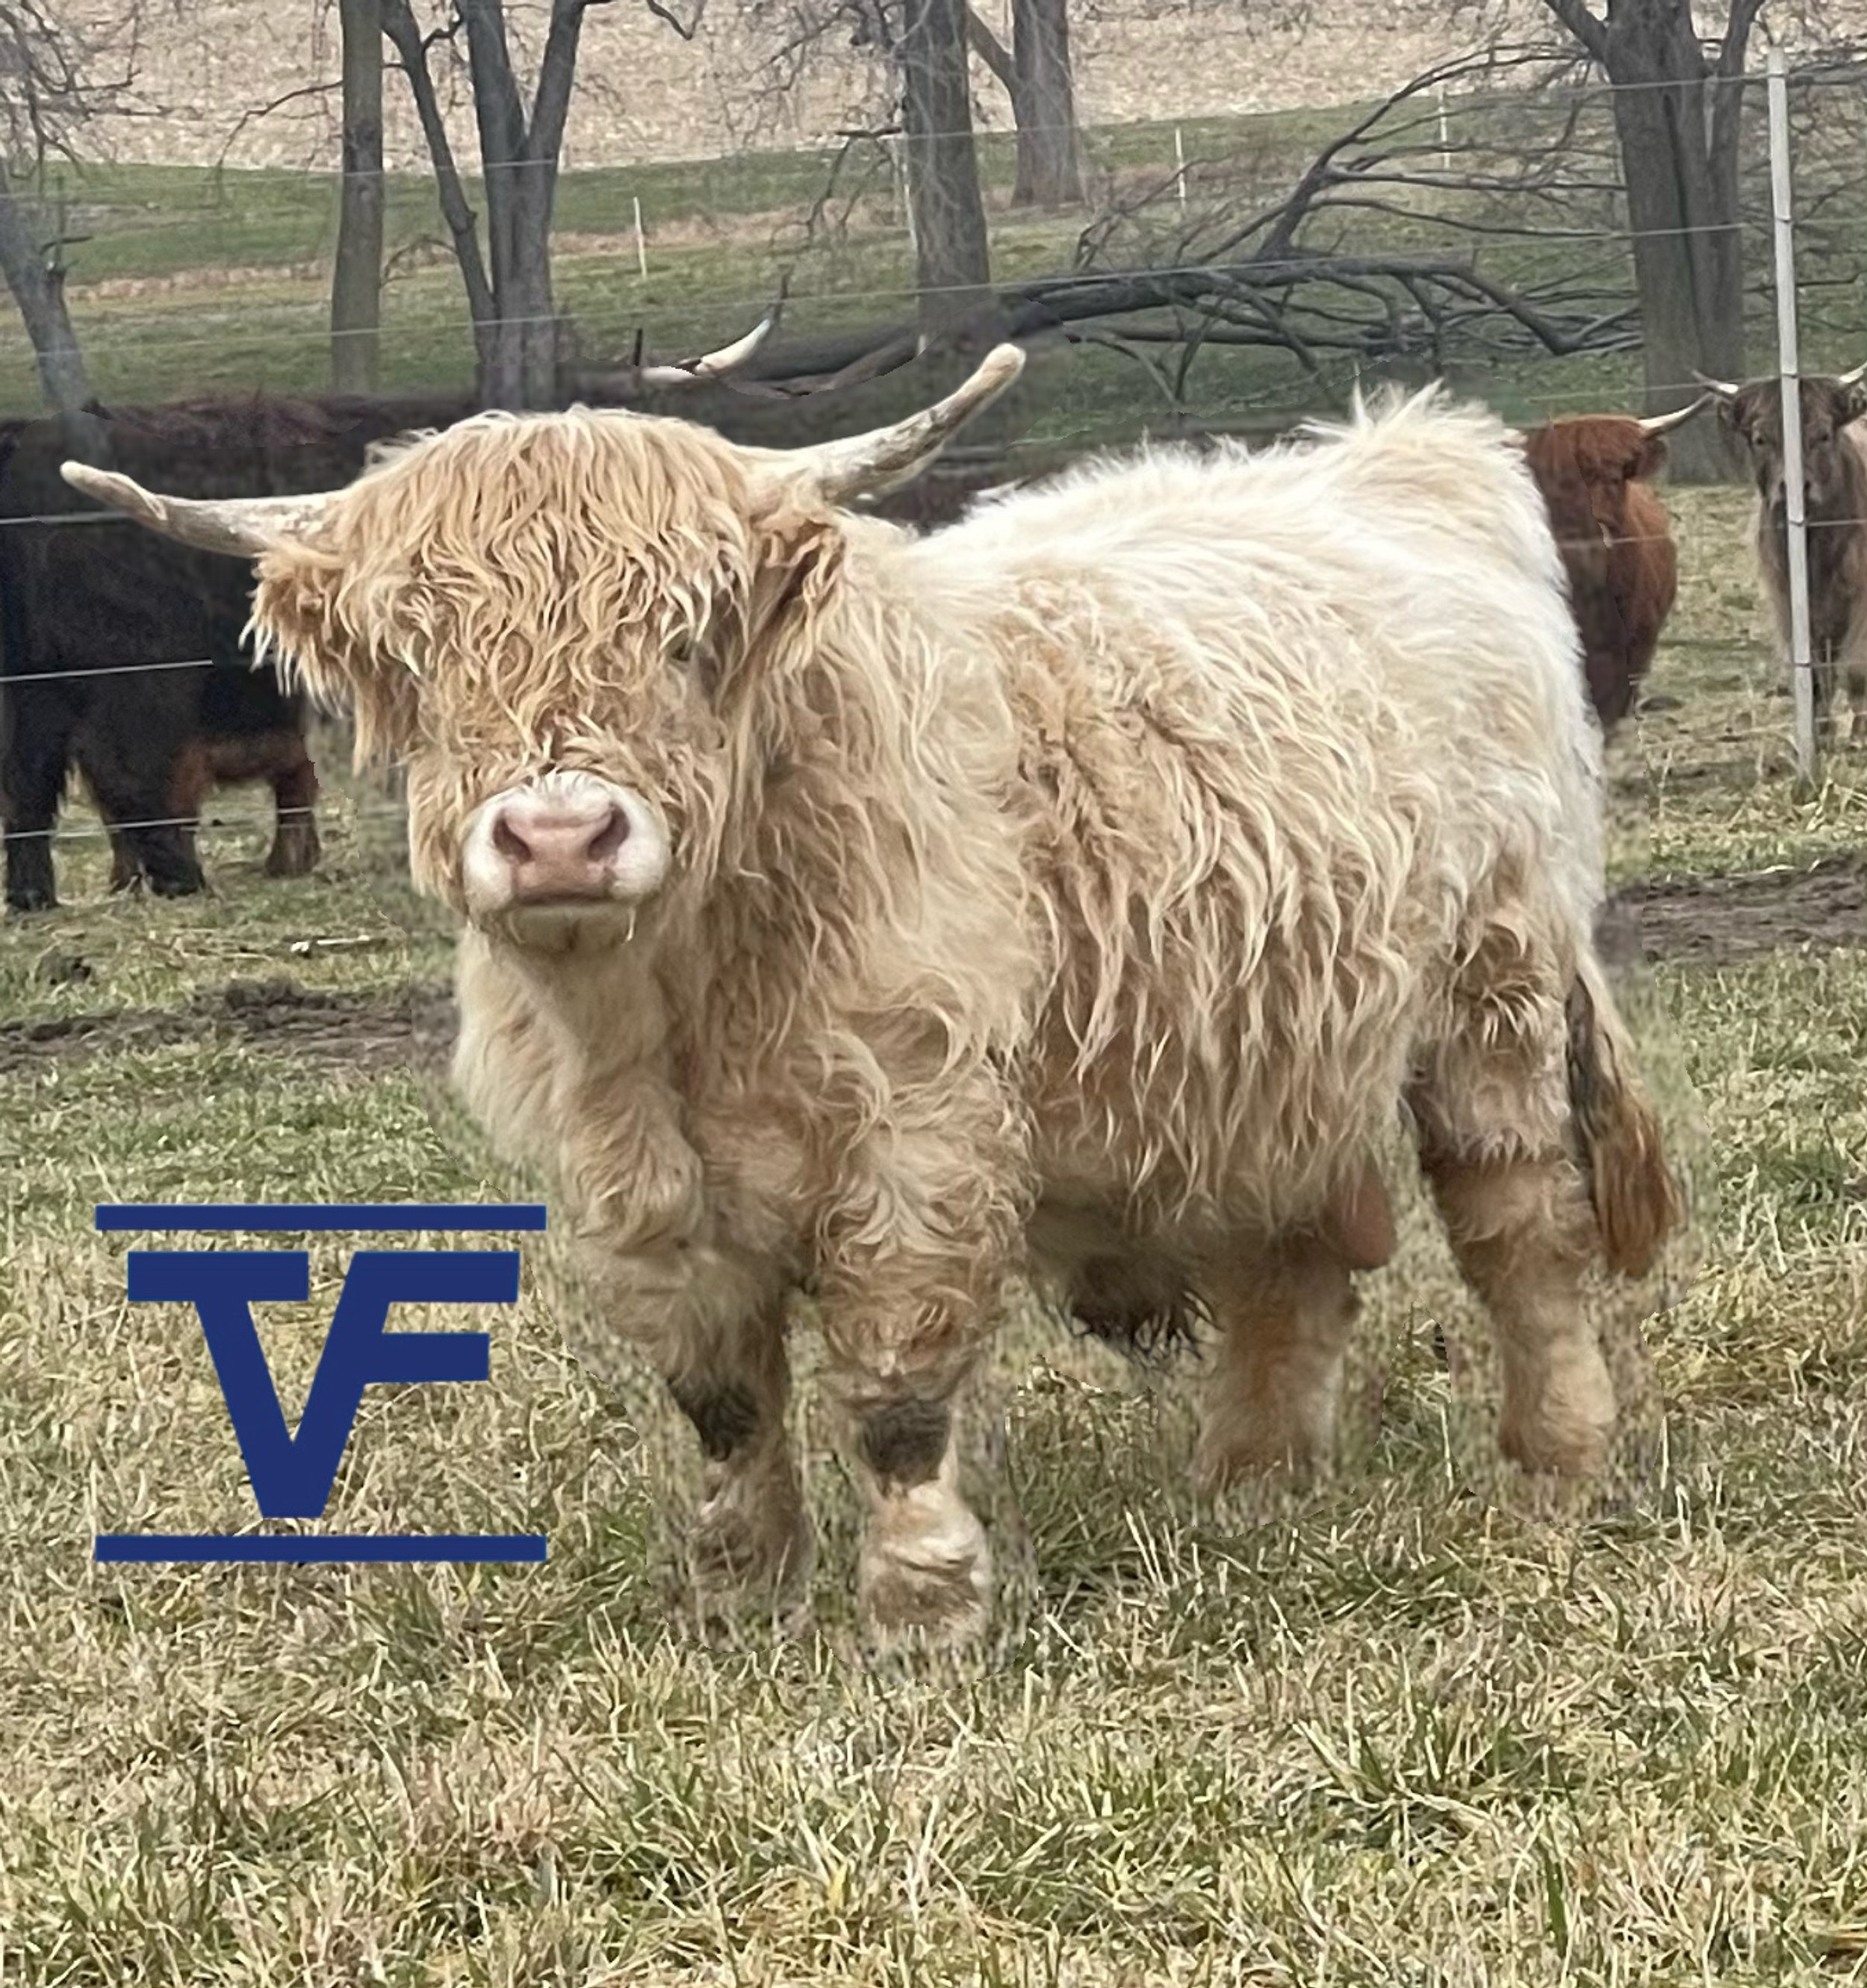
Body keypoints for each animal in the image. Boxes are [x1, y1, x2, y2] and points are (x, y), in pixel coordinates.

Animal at [0, 321, 777, 913]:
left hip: (37, 690)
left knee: (30, 786)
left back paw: (38, 896)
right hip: (136, 679)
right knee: (123, 769)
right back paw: (177, 880)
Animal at [1695, 365, 1867, 745]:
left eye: (1823, 435)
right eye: (1761, 439)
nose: (1795, 488)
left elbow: (1856, 669)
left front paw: (1858, 737)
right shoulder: (1789, 602)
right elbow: (1815, 676)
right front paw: (1821, 736)